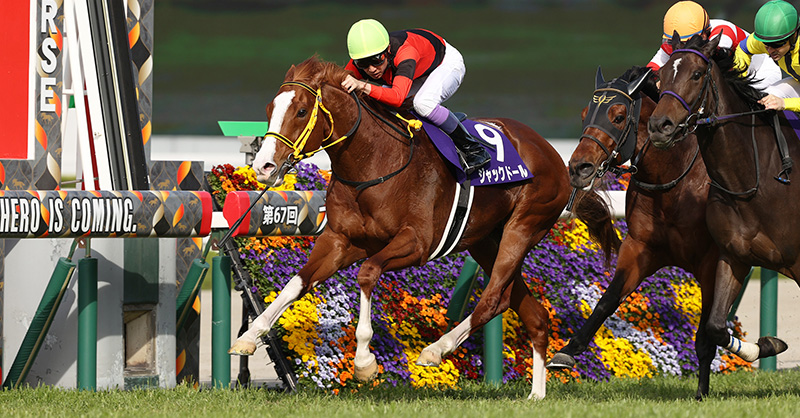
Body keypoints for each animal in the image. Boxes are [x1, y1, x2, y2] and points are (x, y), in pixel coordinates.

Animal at [226, 56, 618, 399]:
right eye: (269, 110)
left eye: (301, 111)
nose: (264, 166)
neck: (375, 161)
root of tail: (556, 157)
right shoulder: (342, 240)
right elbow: (298, 282)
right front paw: (249, 336)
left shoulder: (417, 244)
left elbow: (367, 274)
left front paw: (364, 361)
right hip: (485, 240)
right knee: (528, 311)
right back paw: (536, 394)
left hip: (523, 227)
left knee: (493, 296)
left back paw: (436, 349)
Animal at [545, 65, 724, 399]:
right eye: (584, 113)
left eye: (617, 116)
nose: (578, 167)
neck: (673, 183)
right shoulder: (641, 247)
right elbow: (608, 299)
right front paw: (566, 351)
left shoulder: (712, 260)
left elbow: (707, 330)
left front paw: (702, 391)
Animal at [647, 34, 789, 367]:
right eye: (663, 75)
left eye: (697, 74)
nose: (659, 126)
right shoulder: (733, 255)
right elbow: (714, 326)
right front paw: (767, 344)